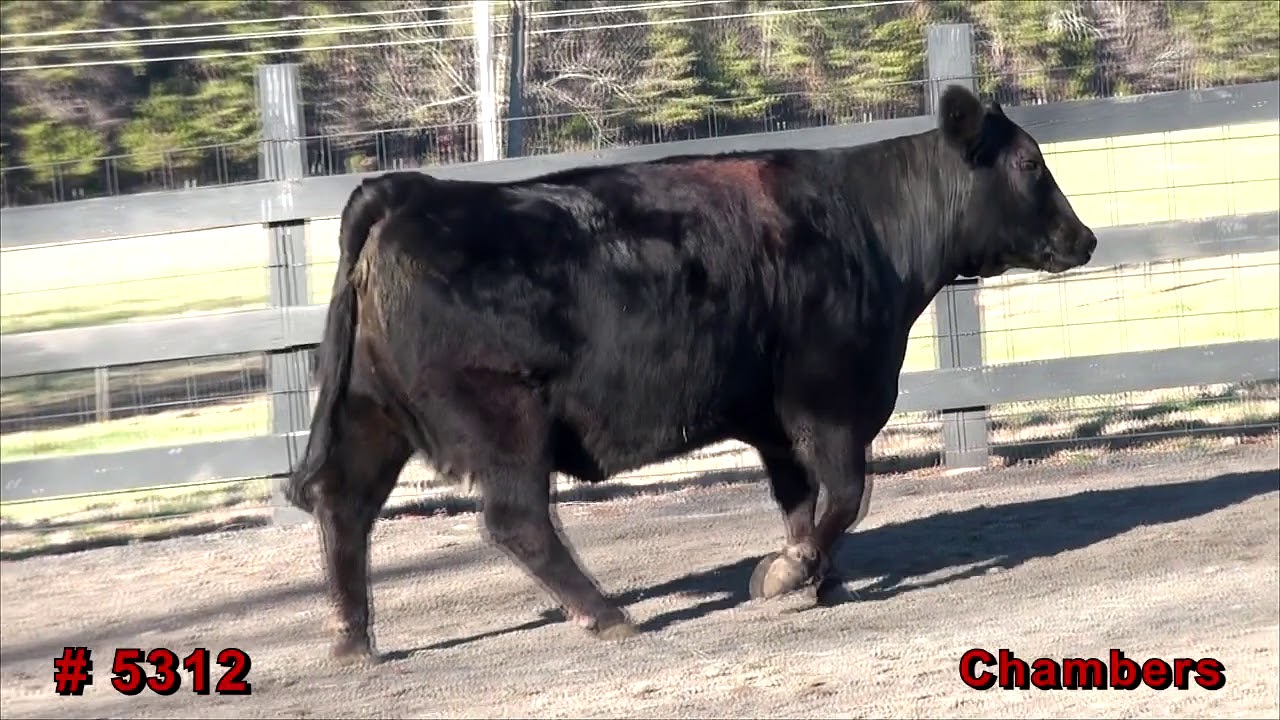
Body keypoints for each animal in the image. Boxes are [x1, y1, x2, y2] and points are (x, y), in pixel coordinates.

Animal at [285, 84, 1098, 662]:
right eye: (1029, 164)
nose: (1084, 238)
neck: (866, 226)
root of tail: (412, 190)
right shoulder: (829, 404)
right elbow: (844, 495)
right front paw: (790, 572)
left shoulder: (778, 425)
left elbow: (803, 501)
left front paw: (814, 576)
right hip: (503, 420)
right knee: (516, 519)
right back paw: (607, 615)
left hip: (370, 414)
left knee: (343, 506)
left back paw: (352, 640)